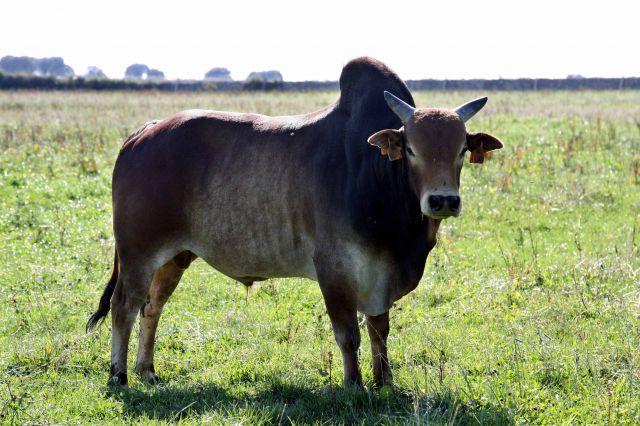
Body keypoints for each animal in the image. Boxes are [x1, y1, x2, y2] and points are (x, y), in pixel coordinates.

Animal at [87, 57, 503, 388]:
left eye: (462, 150)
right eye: (412, 149)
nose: (443, 200)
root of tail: (144, 132)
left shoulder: (379, 276)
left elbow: (379, 331)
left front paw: (384, 381)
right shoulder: (334, 270)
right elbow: (348, 335)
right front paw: (354, 385)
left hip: (174, 257)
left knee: (152, 307)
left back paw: (146, 370)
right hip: (138, 252)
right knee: (125, 306)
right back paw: (119, 375)